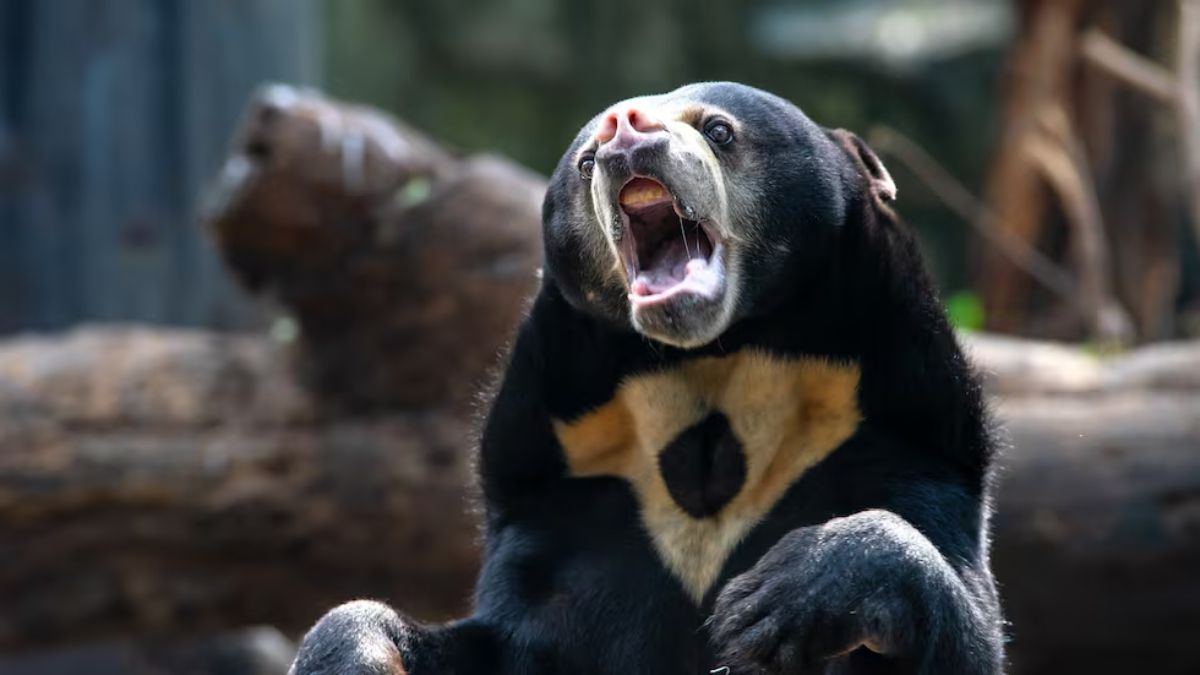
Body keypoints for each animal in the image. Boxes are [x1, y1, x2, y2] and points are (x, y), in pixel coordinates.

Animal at [288, 81, 1005, 675]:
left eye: (718, 129)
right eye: (585, 161)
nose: (622, 127)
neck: (712, 361)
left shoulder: (899, 426)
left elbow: (955, 611)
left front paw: (774, 599)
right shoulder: (559, 476)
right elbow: (497, 634)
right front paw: (352, 653)